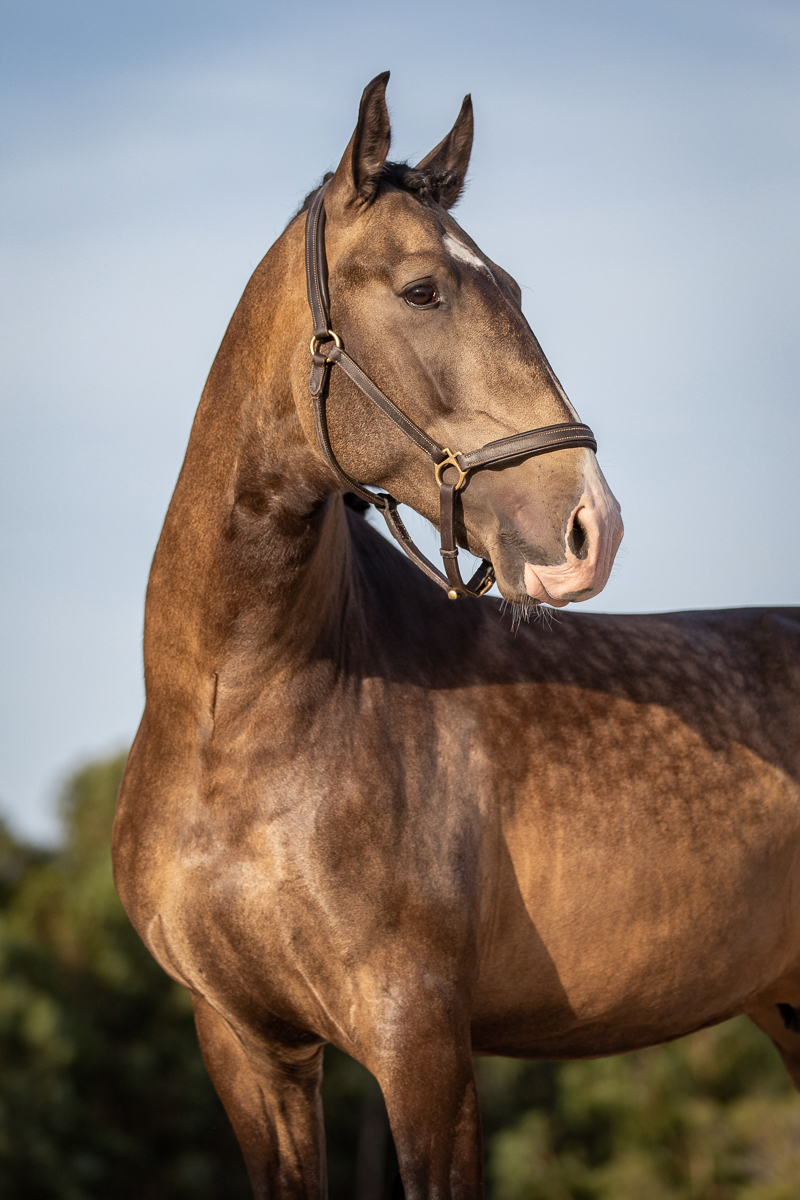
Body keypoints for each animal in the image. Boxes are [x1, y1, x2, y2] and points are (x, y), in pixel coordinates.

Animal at [113, 72, 800, 1198]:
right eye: (423, 291)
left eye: (513, 288)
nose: (590, 527)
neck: (239, 713)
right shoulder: (248, 1046)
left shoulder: (422, 1040)